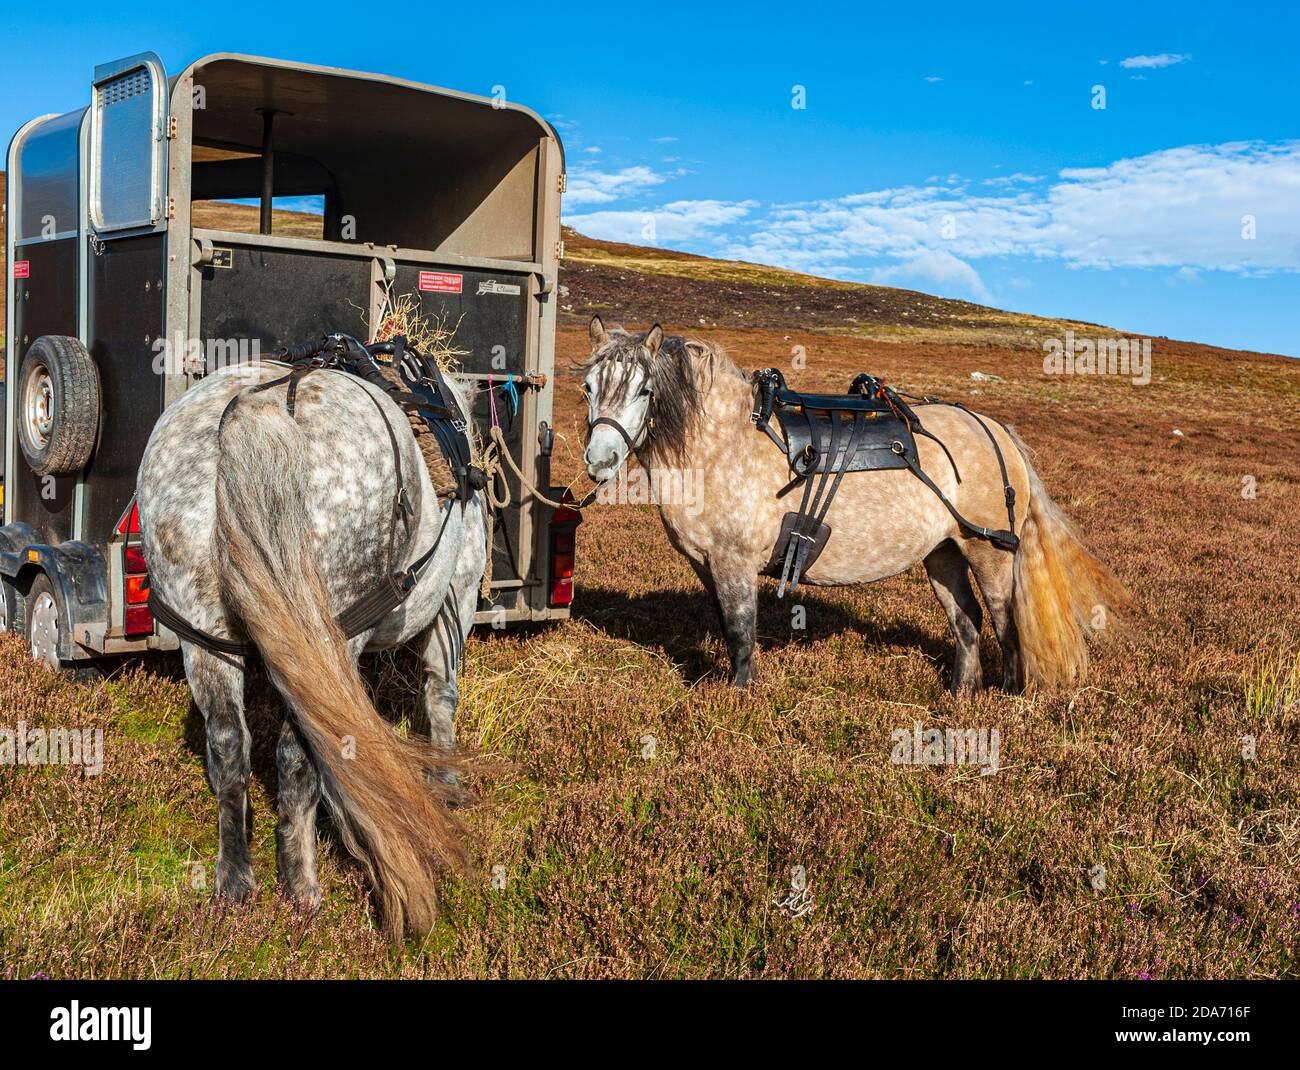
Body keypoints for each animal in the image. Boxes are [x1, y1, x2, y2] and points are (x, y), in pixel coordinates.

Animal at [137, 359, 486, 939]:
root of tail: (252, 409)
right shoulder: (457, 593)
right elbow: (442, 693)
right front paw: (447, 780)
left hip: (203, 632)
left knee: (228, 743)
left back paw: (235, 880)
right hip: (328, 633)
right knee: (299, 755)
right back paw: (301, 887)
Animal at [580, 316, 1128, 693]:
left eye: (644, 389)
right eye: (588, 388)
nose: (599, 460)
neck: (720, 444)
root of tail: (995, 430)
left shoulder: (734, 563)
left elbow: (740, 633)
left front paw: (739, 698)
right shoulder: (708, 565)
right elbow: (727, 625)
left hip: (988, 551)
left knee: (1004, 620)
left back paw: (1008, 697)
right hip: (942, 553)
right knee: (966, 620)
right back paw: (959, 695)